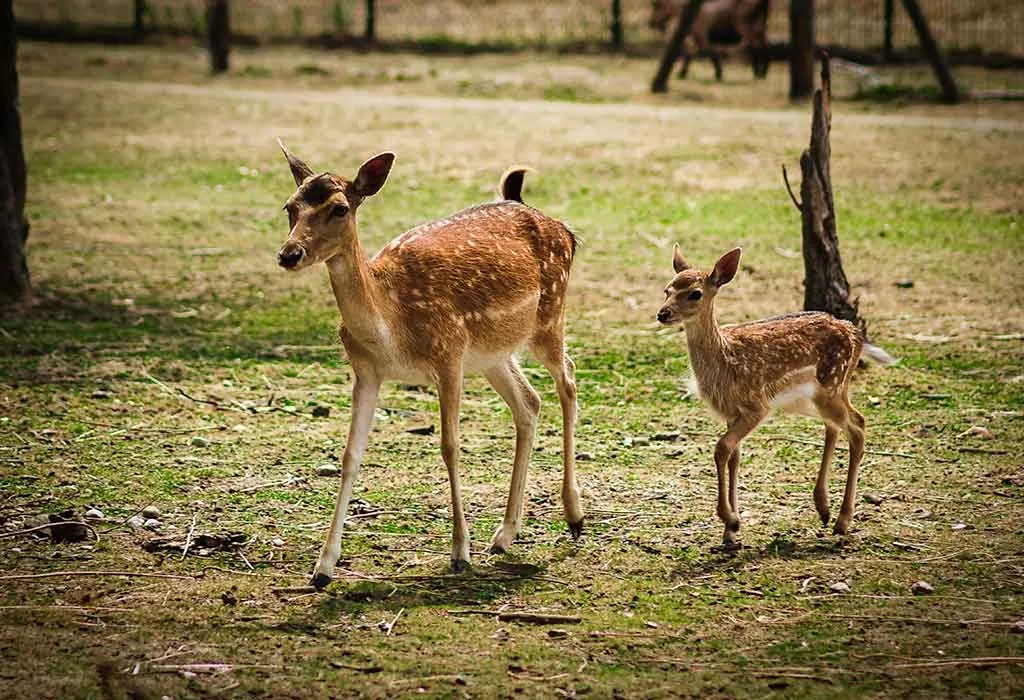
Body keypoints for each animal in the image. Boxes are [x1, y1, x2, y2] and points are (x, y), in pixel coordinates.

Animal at [274, 142, 583, 589]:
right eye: (289, 206)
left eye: (339, 209)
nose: (289, 254)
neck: (391, 329)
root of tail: (564, 230)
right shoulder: (366, 372)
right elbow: (350, 455)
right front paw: (323, 567)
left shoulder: (448, 354)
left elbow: (450, 446)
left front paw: (459, 552)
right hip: (493, 353)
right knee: (529, 402)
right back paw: (504, 534)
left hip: (549, 317)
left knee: (569, 381)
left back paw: (574, 516)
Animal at [656, 245, 893, 548]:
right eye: (667, 289)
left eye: (695, 293)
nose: (662, 313)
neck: (724, 360)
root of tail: (856, 334)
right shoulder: (732, 412)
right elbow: (734, 457)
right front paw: (731, 532)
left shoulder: (757, 405)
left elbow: (721, 448)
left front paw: (730, 520)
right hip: (820, 395)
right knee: (836, 426)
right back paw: (824, 509)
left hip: (831, 383)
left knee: (858, 424)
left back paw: (842, 521)